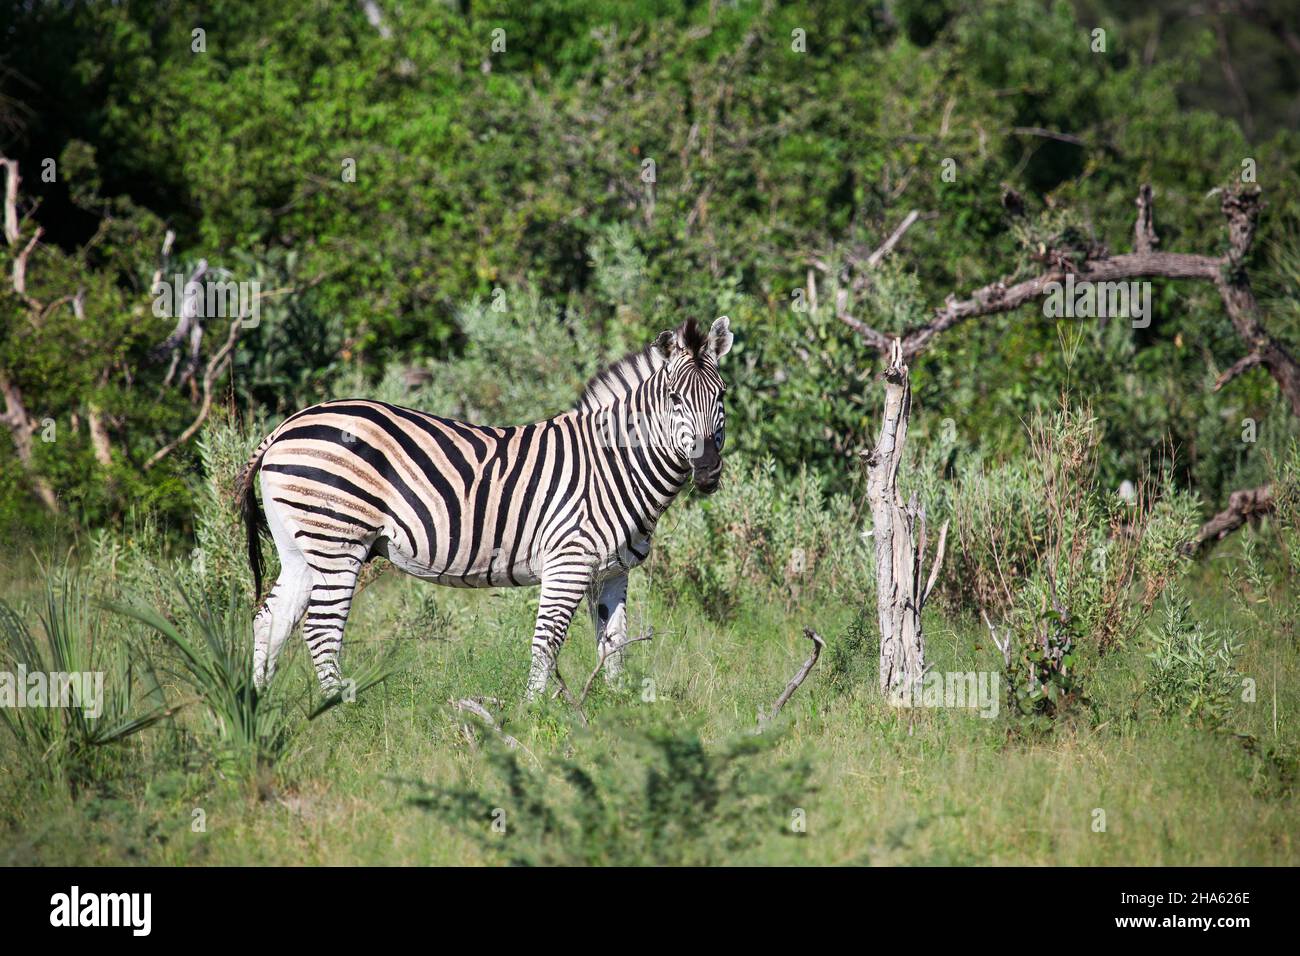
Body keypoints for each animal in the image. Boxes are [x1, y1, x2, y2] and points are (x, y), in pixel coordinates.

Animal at [234, 316, 733, 699]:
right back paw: (339, 709)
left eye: (722, 397)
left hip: (301, 547)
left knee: (269, 620)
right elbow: (547, 641)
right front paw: (535, 713)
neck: (614, 464)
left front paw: (616, 707)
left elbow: (614, 643)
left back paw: (260, 706)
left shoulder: (611, 572)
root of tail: (286, 425)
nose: (707, 469)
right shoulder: (568, 562)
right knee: (320, 630)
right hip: (338, 539)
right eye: (674, 399)